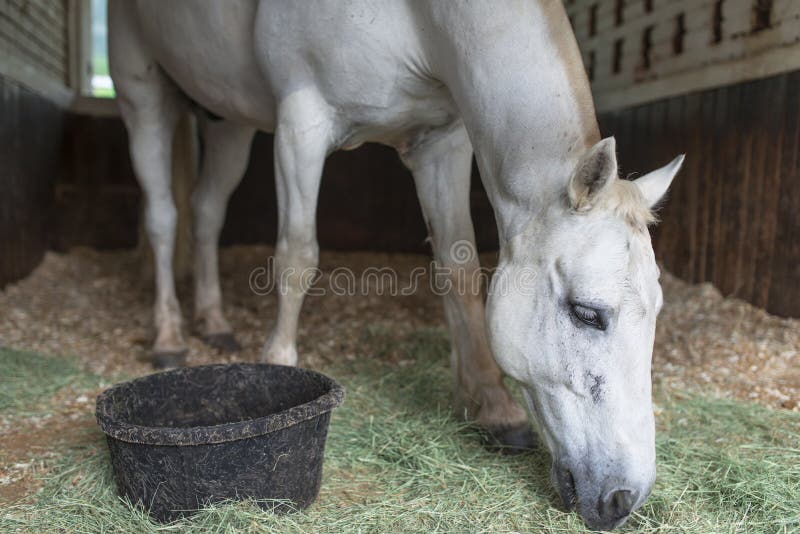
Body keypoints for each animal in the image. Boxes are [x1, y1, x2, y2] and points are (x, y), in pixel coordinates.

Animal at [109, 1, 683, 529]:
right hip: (144, 95)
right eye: (586, 312)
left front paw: (493, 408)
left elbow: (459, 267)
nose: (622, 498)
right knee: (164, 216)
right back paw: (169, 336)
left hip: (228, 121)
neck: (419, 20)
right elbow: (297, 255)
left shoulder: (439, 144)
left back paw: (213, 322)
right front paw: (280, 369)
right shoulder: (301, 122)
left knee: (207, 211)